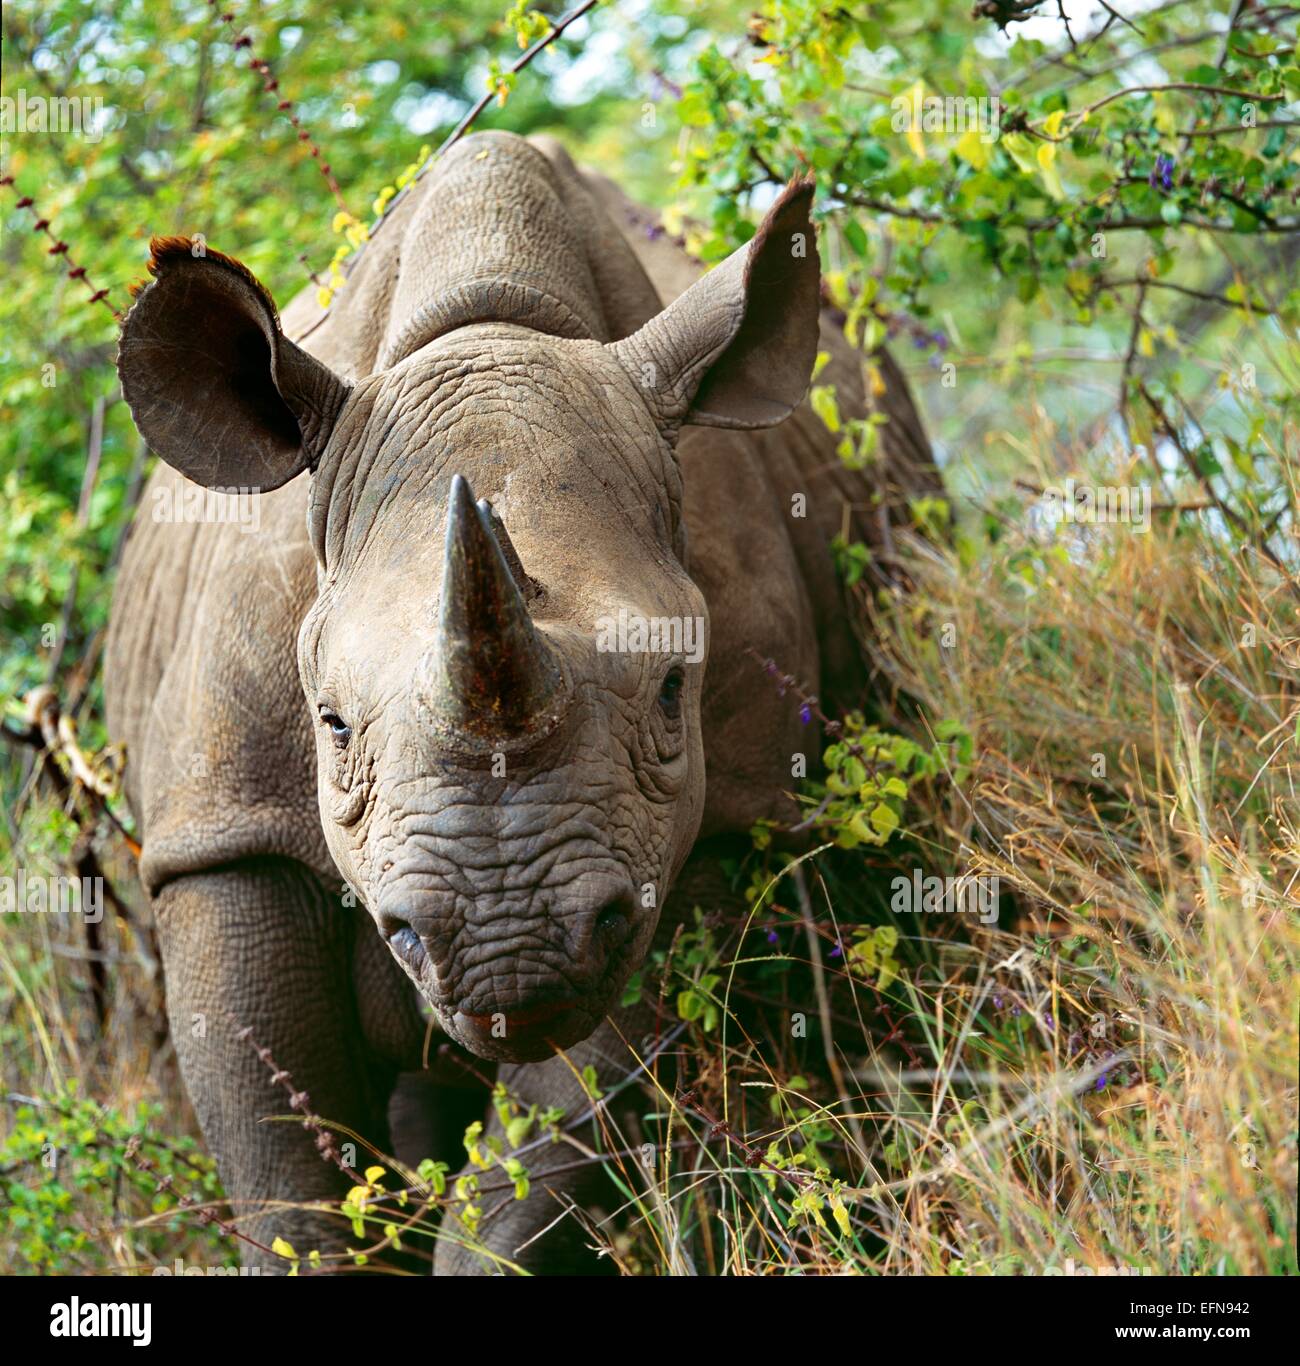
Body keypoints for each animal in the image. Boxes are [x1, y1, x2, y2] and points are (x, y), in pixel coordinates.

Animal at [105, 131, 937, 1273]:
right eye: (331, 723)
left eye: (672, 690)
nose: (508, 951)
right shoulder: (228, 833)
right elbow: (291, 1184)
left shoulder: (708, 827)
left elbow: (544, 1163)